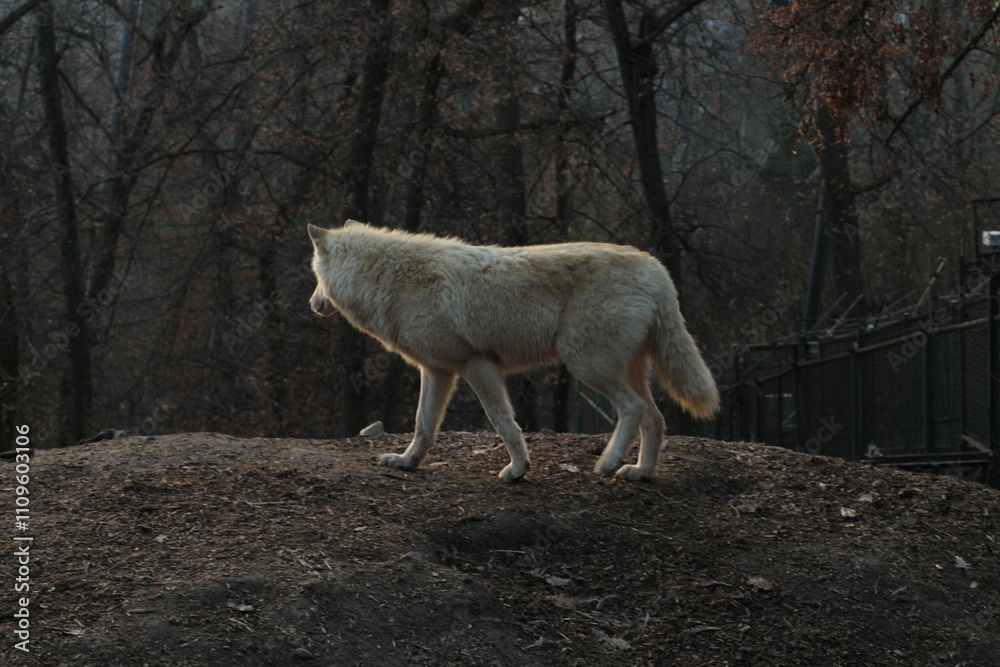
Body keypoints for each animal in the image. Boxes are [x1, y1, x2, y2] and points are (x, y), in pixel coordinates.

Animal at [308, 222, 719, 482]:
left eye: (314, 275)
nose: (312, 303)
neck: (393, 280)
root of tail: (657, 270)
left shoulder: (477, 364)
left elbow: (503, 422)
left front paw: (518, 470)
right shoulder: (438, 371)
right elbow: (423, 426)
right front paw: (407, 462)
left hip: (587, 365)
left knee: (632, 410)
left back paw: (607, 463)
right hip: (623, 370)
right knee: (655, 419)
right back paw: (640, 472)